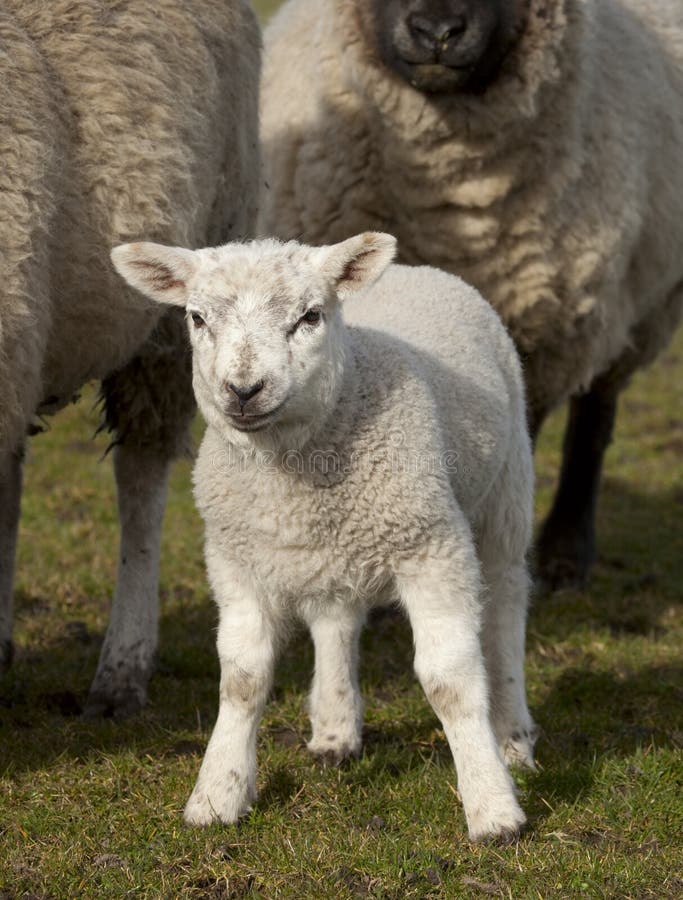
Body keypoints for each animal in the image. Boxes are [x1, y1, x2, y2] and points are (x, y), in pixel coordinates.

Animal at [111, 231, 537, 842]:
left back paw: (513, 737)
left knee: (505, 602)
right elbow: (242, 679)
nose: (243, 390)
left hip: (505, 494)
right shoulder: (235, 560)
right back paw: (336, 731)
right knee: (336, 619)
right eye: (196, 317)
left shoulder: (432, 546)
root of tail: (415, 269)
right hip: (330, 552)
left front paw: (492, 806)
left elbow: (449, 680)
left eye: (310, 316)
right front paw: (217, 793)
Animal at [258, 0, 683, 589]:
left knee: (595, 416)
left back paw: (565, 554)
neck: (452, 207)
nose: (437, 32)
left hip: (636, 308)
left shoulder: (537, 336)